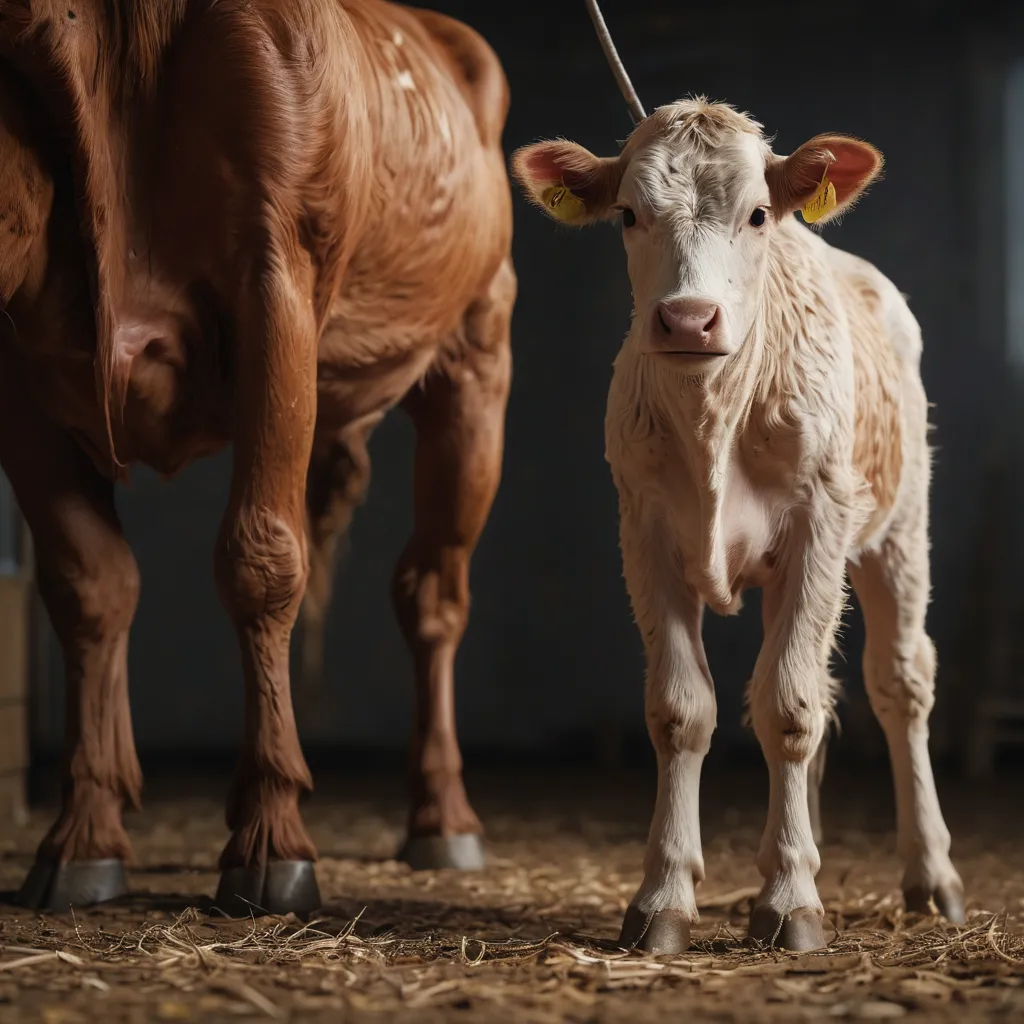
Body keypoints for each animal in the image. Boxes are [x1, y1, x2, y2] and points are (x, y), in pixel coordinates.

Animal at [0, 0, 514, 915]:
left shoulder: (277, 279)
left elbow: (261, 559)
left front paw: (271, 838)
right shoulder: (22, 362)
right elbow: (89, 581)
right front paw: (85, 835)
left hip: (475, 362)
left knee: (431, 594)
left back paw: (443, 819)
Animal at [512, 80, 964, 949]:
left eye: (757, 214)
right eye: (628, 214)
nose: (689, 319)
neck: (713, 414)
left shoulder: (819, 526)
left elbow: (786, 707)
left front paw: (790, 899)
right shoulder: (644, 534)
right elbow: (682, 710)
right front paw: (666, 896)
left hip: (898, 531)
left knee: (898, 684)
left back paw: (931, 875)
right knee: (821, 688)